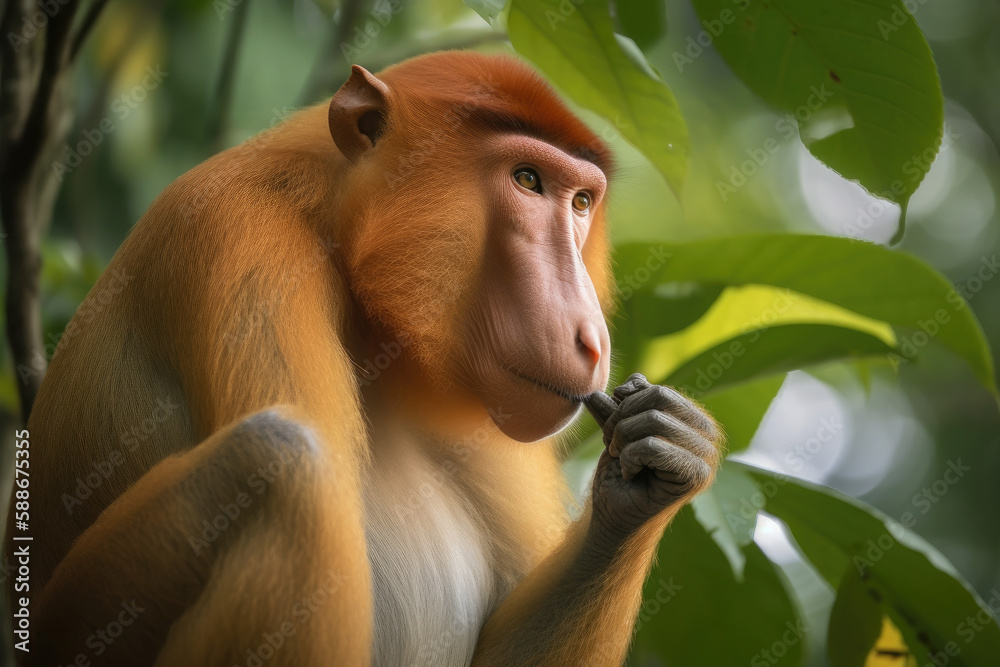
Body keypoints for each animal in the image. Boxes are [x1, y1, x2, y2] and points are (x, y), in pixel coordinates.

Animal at [6, 51, 722, 666]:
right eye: (527, 179)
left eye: (580, 201)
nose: (589, 339)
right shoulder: (246, 242)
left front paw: (658, 464)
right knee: (283, 463)